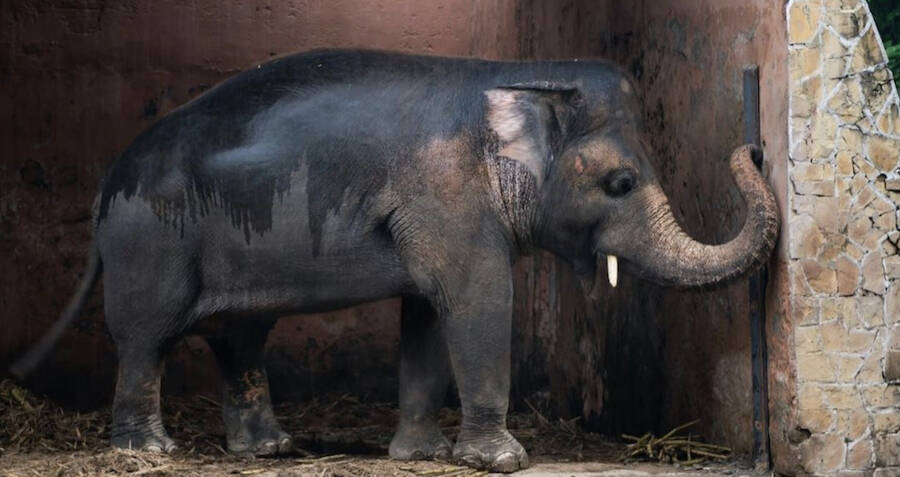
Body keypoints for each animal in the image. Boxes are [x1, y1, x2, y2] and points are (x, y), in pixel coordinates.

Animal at [11, 49, 779, 472]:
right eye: (621, 183)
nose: (754, 143)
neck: (523, 80)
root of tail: (105, 183)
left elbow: (427, 316)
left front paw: (422, 457)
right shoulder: (448, 196)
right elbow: (476, 299)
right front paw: (501, 461)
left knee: (239, 336)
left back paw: (269, 450)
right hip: (149, 240)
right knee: (147, 337)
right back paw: (151, 453)